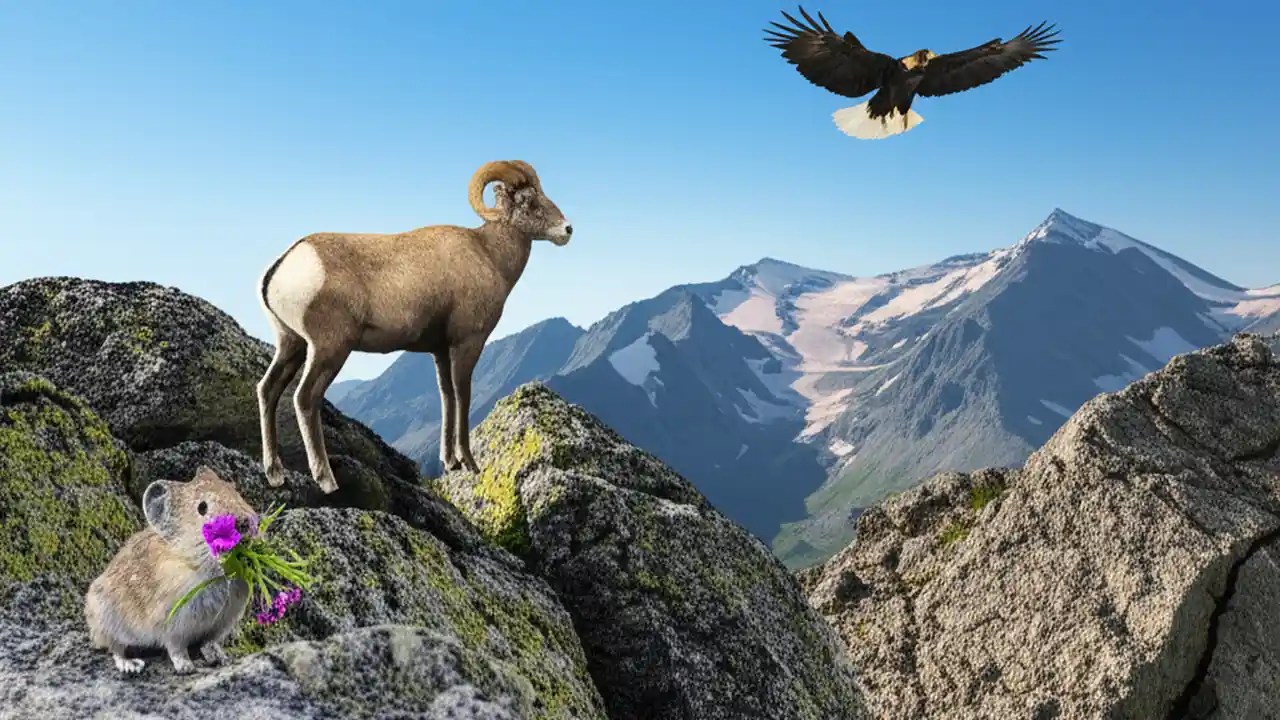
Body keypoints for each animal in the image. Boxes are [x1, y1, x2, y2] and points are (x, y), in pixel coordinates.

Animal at [255, 160, 573, 493]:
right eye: (528, 200)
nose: (567, 230)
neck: (489, 255)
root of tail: (283, 267)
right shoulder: (467, 343)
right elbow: (463, 394)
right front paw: (469, 464)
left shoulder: (440, 351)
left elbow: (447, 396)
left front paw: (450, 461)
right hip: (329, 350)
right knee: (304, 398)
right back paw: (327, 481)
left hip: (292, 344)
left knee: (268, 390)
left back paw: (275, 473)